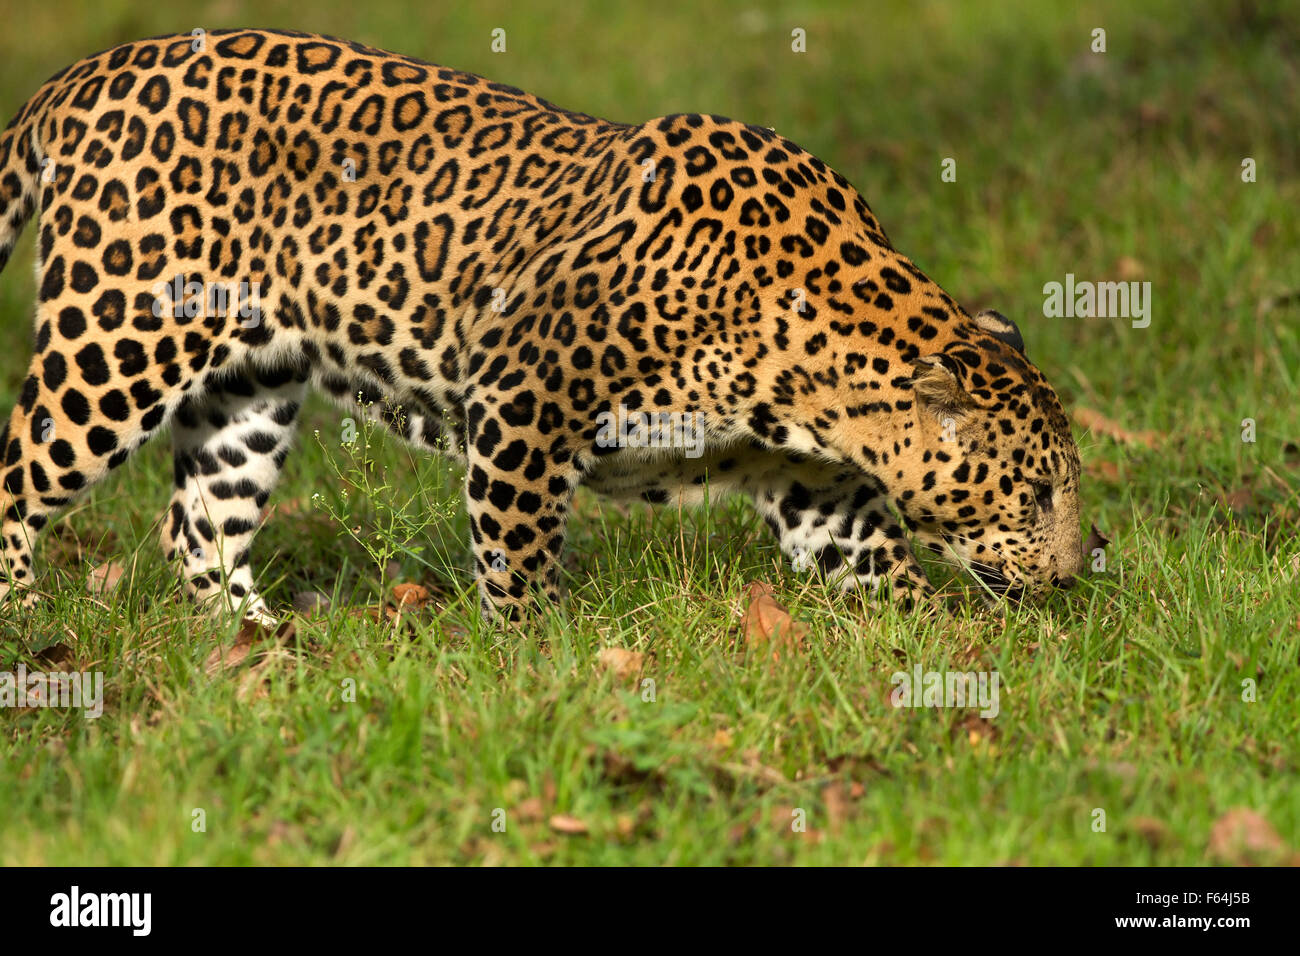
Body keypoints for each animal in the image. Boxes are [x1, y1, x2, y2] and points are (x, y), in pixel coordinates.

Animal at [0, 29, 1084, 624]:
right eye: (1032, 492)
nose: (1079, 573)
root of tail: (81, 74)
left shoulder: (811, 482)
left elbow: (879, 560)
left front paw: (950, 645)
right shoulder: (524, 398)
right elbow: (516, 554)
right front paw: (535, 660)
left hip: (245, 388)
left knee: (197, 526)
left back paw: (258, 651)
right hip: (114, 344)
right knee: (19, 472)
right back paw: (24, 626)